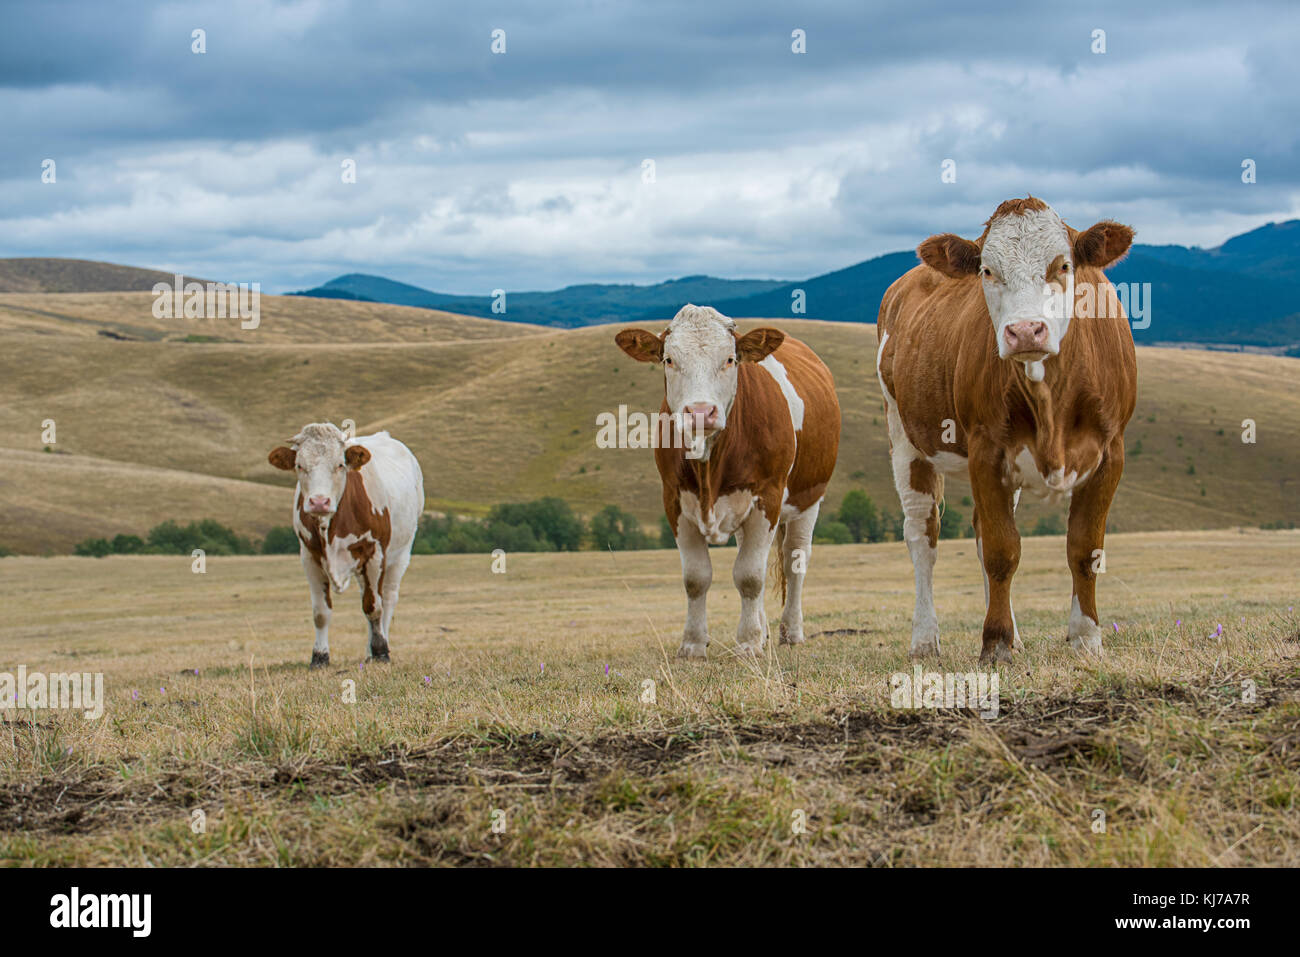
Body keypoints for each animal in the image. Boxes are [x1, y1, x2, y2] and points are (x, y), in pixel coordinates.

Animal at [267, 423, 425, 668]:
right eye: (299, 465)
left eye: (340, 465)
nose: (319, 502)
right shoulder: (309, 557)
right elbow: (321, 612)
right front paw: (319, 656)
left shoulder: (374, 553)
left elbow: (373, 608)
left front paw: (381, 652)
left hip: (400, 555)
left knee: (387, 600)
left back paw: (379, 646)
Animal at [615, 304, 840, 658]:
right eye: (669, 360)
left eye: (730, 359)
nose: (700, 412)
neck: (710, 461)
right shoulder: (674, 500)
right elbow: (696, 577)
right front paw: (694, 644)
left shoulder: (767, 498)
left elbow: (749, 576)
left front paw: (748, 643)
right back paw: (764, 630)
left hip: (809, 497)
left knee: (795, 559)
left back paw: (790, 632)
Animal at [876, 197, 1137, 664]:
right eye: (987, 270)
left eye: (1063, 265)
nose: (1025, 331)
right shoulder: (987, 449)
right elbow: (1002, 551)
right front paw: (994, 644)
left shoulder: (1111, 453)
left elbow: (1084, 548)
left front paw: (1086, 638)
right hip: (905, 440)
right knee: (923, 535)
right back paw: (925, 640)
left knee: (980, 529)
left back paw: (1015, 633)